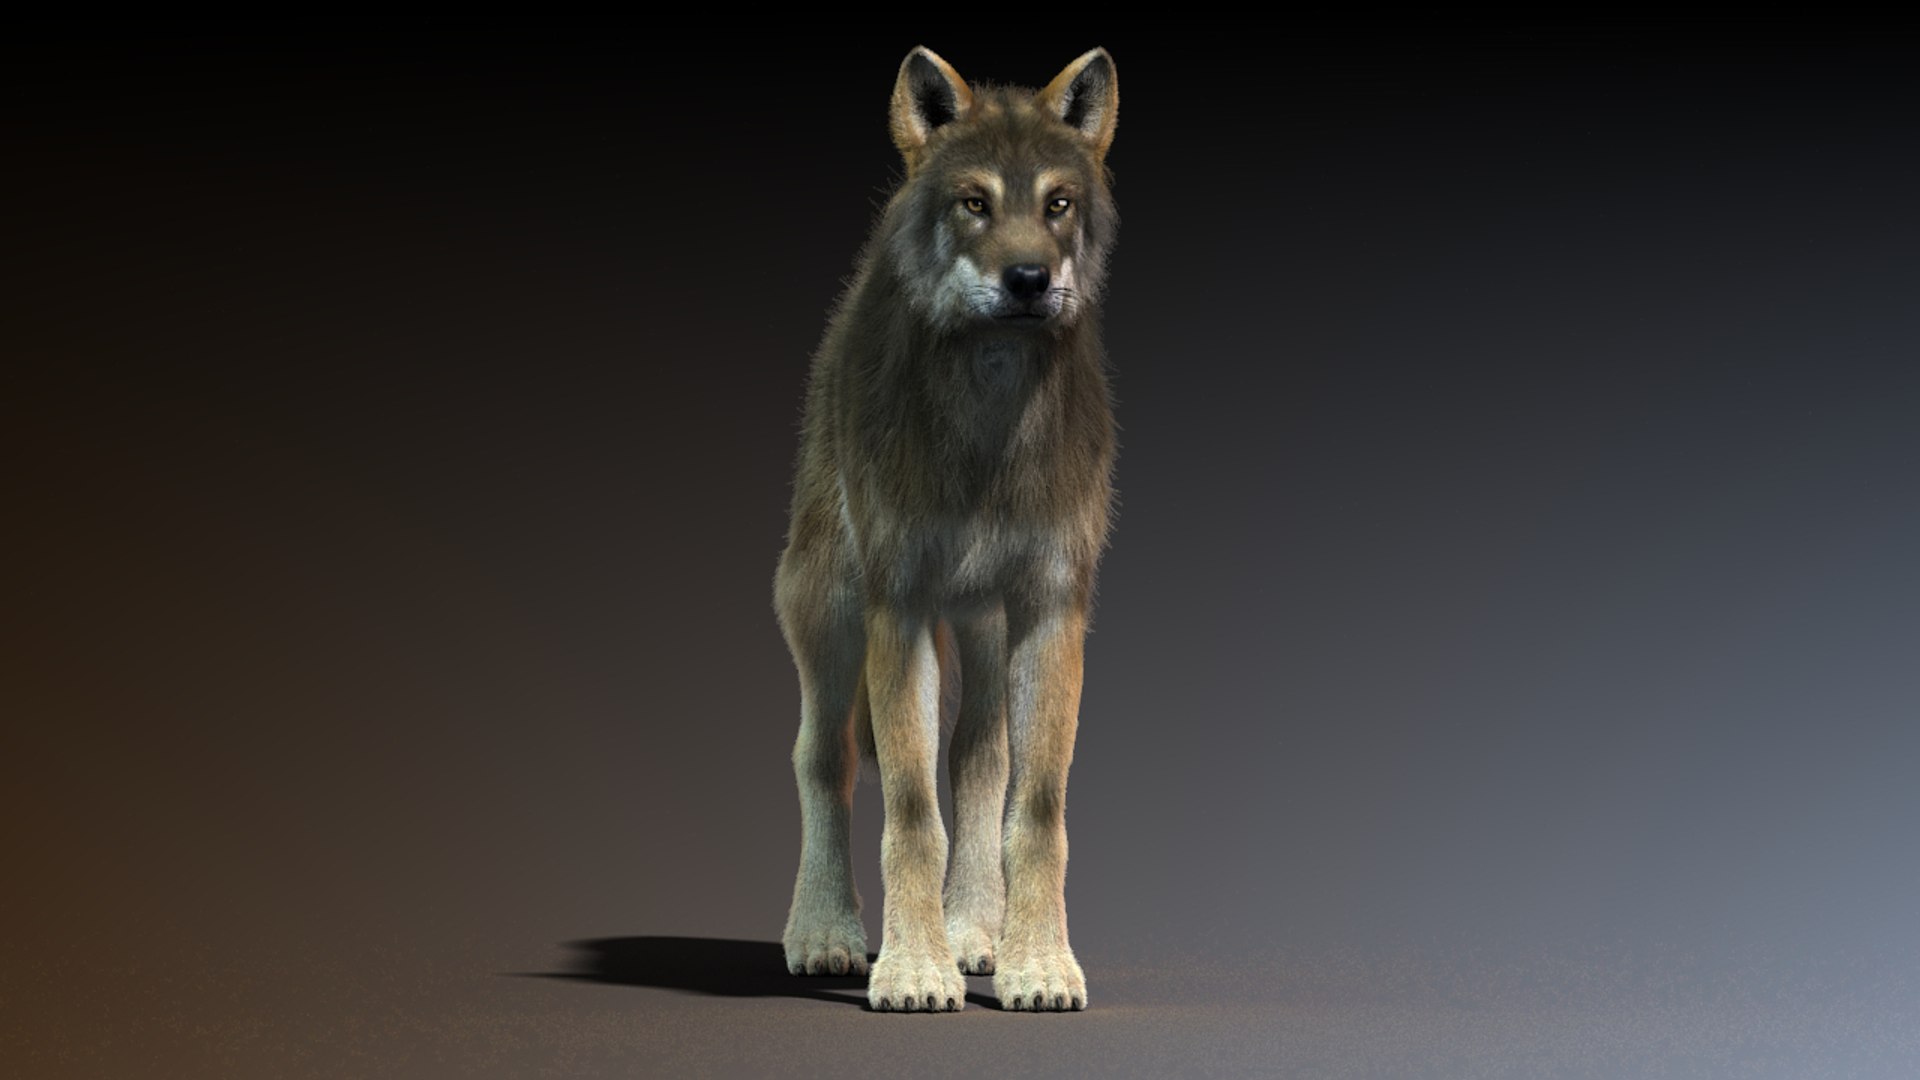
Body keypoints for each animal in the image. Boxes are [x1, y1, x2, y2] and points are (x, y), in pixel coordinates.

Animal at [773, 46, 1119, 1013]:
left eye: (1057, 203)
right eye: (974, 202)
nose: (1028, 280)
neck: (991, 428)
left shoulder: (1050, 611)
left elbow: (1034, 811)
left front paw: (1036, 966)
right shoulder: (897, 609)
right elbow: (908, 811)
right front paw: (910, 971)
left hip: (984, 625)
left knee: (977, 756)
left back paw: (974, 932)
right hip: (829, 609)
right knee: (821, 757)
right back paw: (825, 933)